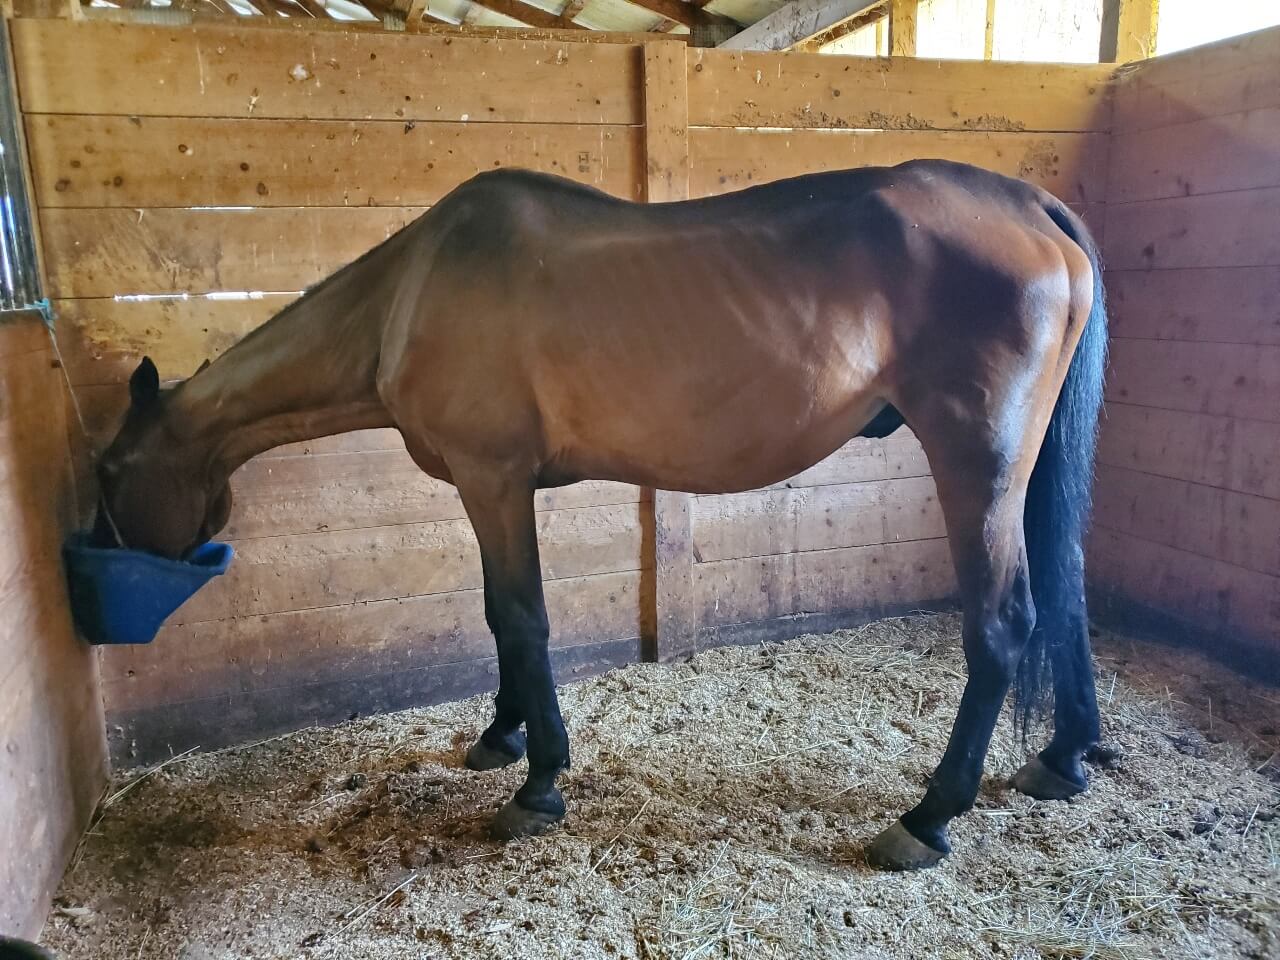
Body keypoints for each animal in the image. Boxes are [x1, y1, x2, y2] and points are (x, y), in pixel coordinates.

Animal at [92, 159, 1107, 871]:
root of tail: (1029, 205)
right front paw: (500, 737)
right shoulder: (490, 487)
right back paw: (1064, 759)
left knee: (1003, 625)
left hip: (978, 466)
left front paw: (537, 783)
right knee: (1065, 595)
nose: (99, 592)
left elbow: (521, 617)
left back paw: (927, 818)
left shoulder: (492, 476)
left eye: (107, 471)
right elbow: (498, 617)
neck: (407, 294)